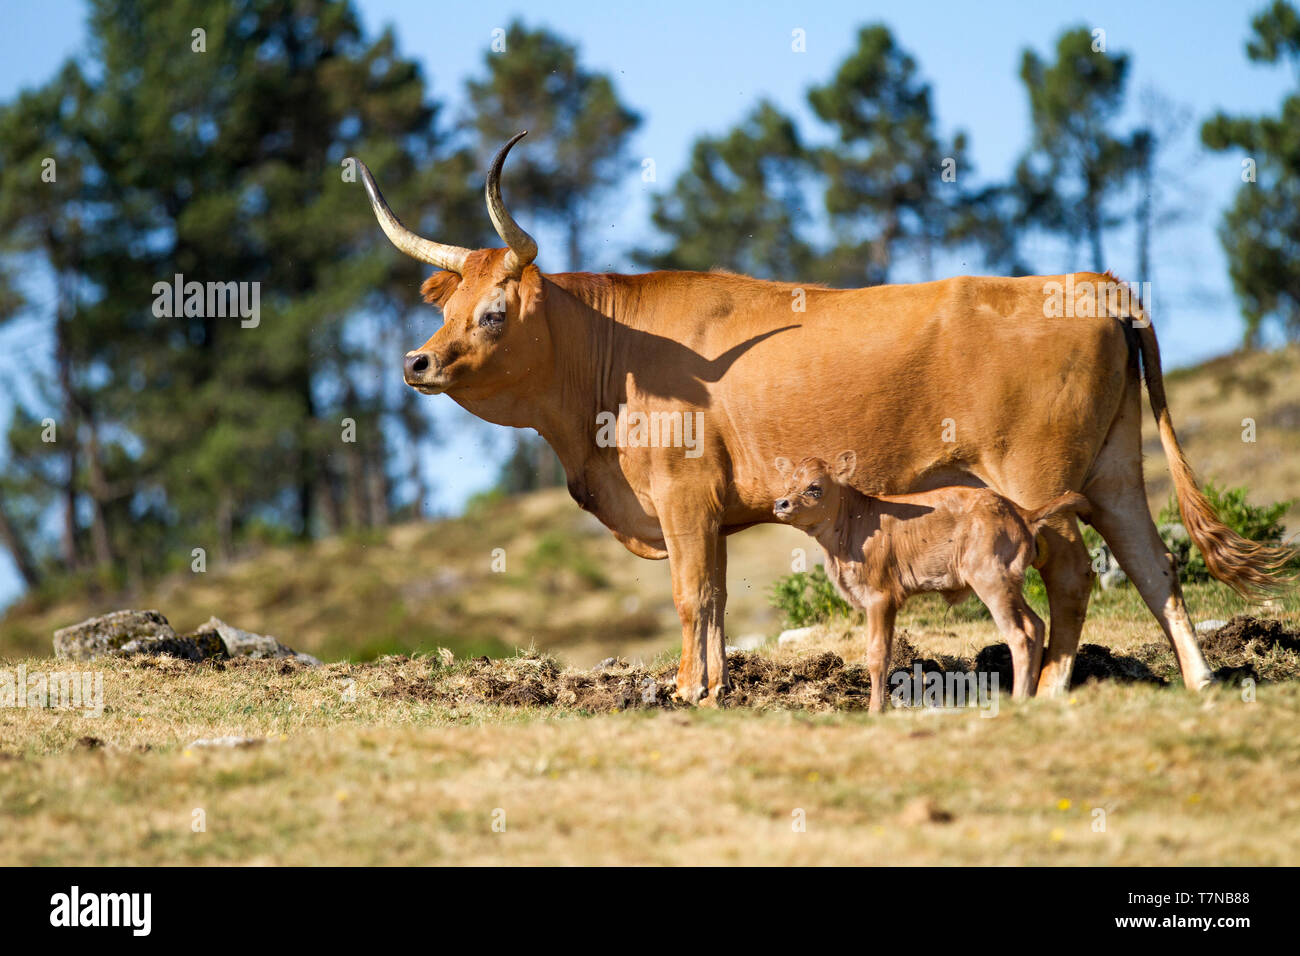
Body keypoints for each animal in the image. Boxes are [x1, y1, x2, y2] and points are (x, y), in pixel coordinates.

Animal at [772, 452, 1090, 710]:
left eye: (815, 487)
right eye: (787, 483)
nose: (781, 503)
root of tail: (1022, 512)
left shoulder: (880, 596)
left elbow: (877, 655)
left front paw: (876, 710)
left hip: (992, 580)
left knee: (1020, 633)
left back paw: (1019, 698)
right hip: (1008, 582)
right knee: (1036, 624)